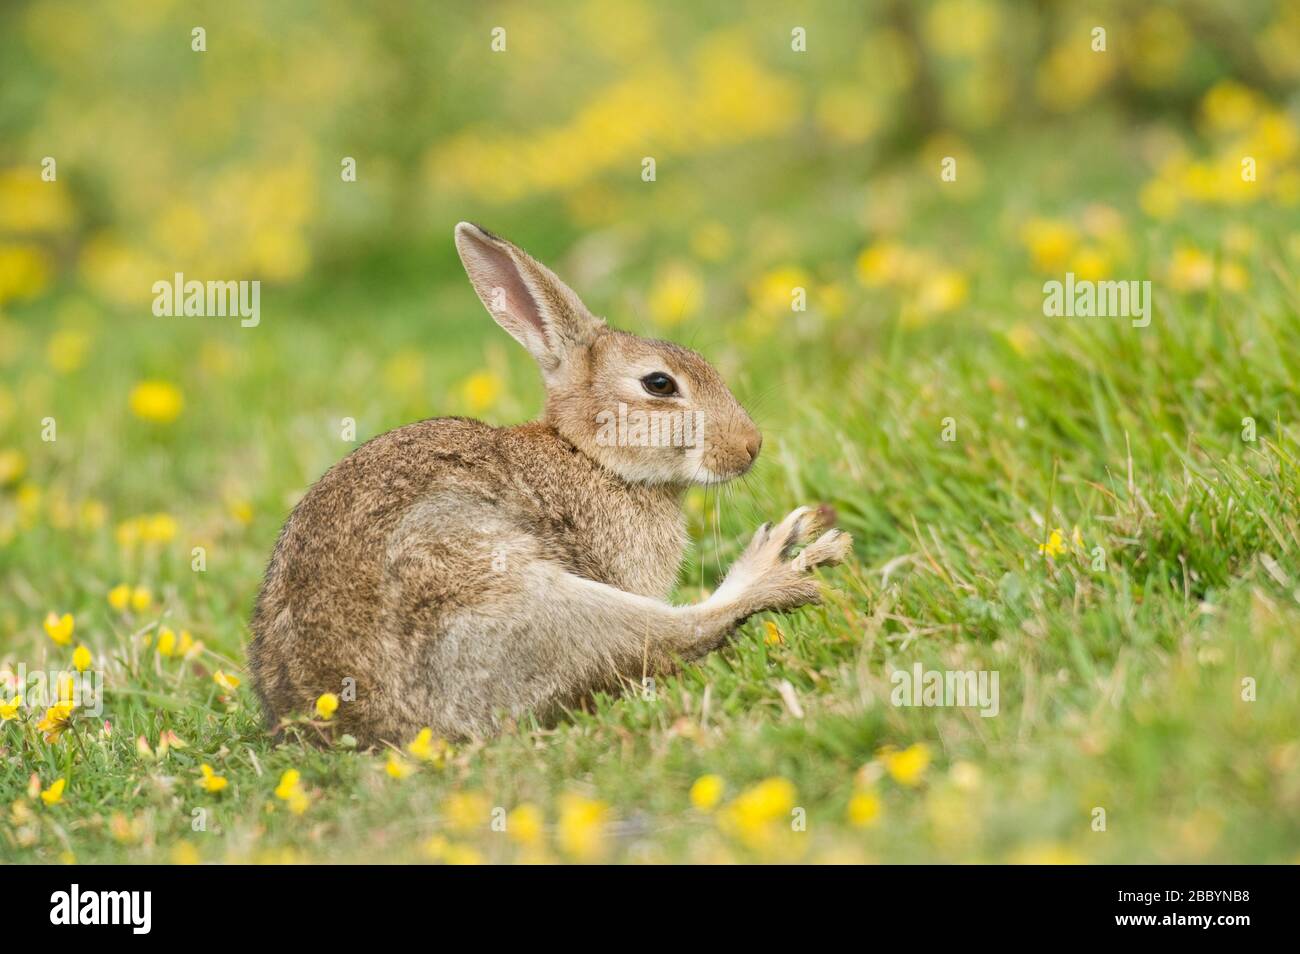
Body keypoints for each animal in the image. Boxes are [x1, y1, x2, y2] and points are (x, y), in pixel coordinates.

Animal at [248, 222, 852, 746]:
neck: (589, 456)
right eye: (659, 384)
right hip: (526, 601)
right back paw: (785, 563)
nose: (750, 445)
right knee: (678, 633)